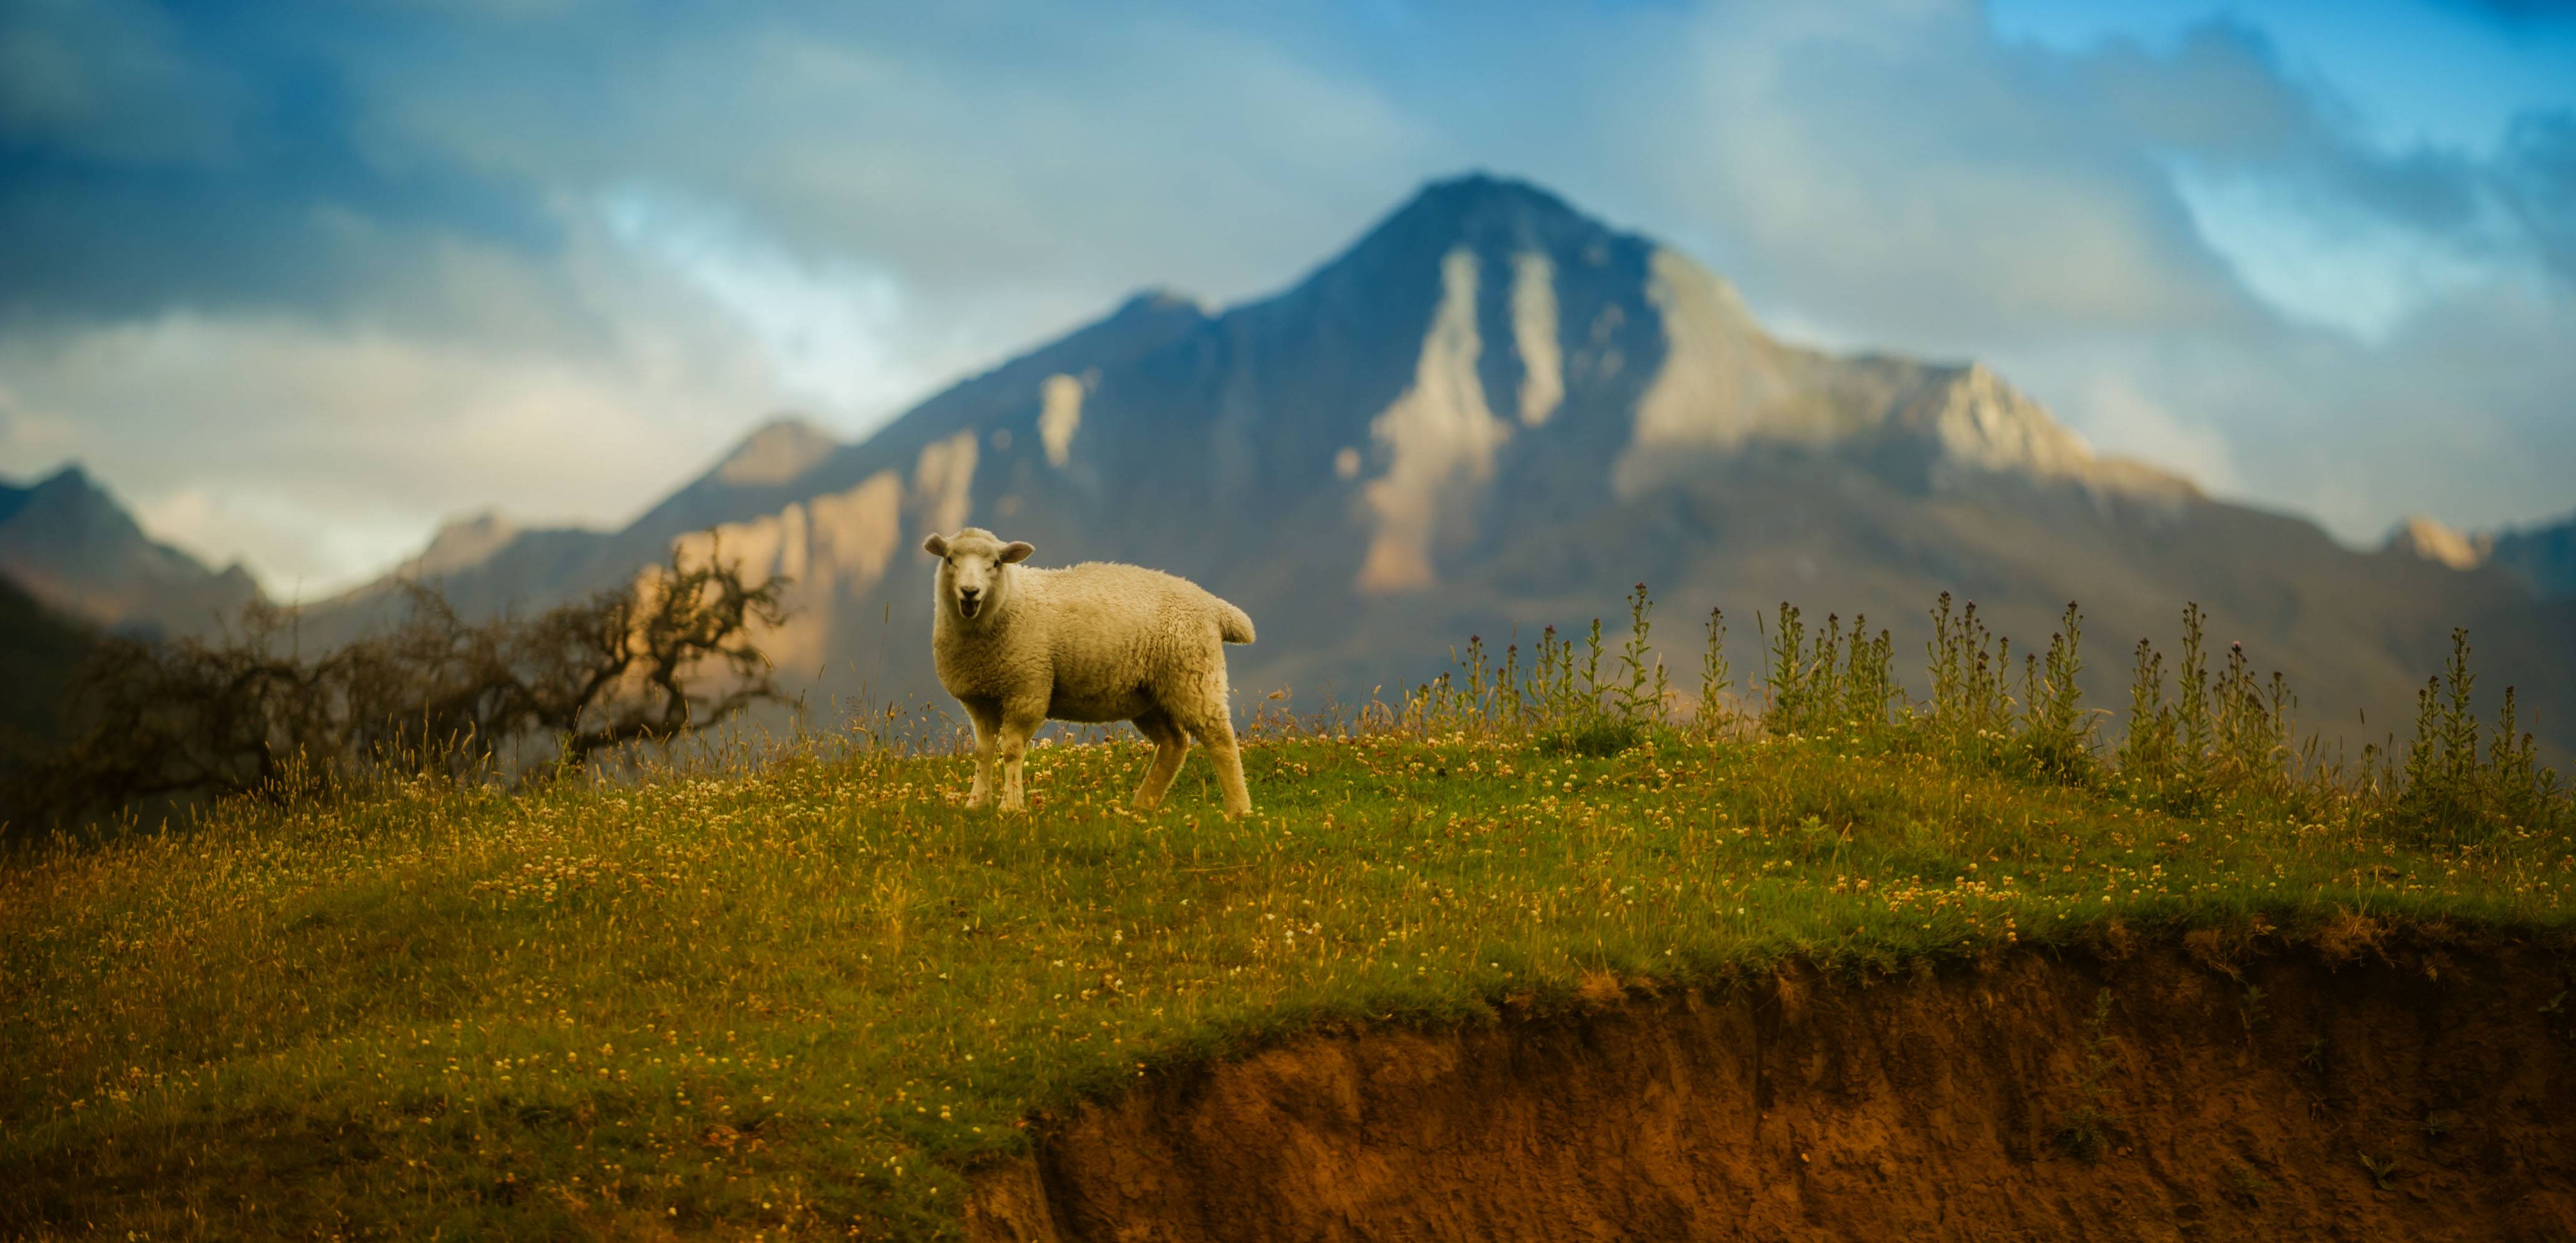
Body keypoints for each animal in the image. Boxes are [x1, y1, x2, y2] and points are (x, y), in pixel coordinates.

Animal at [921, 527, 1258, 817]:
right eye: (949, 559)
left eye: (995, 563)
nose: (970, 592)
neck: (1009, 602)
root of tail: (1213, 605)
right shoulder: (981, 699)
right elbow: (983, 751)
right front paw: (976, 803)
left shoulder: (1027, 690)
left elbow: (1013, 751)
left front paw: (1011, 806)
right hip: (1148, 694)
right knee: (1174, 744)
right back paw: (1142, 805)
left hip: (1192, 677)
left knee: (1220, 740)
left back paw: (1238, 810)